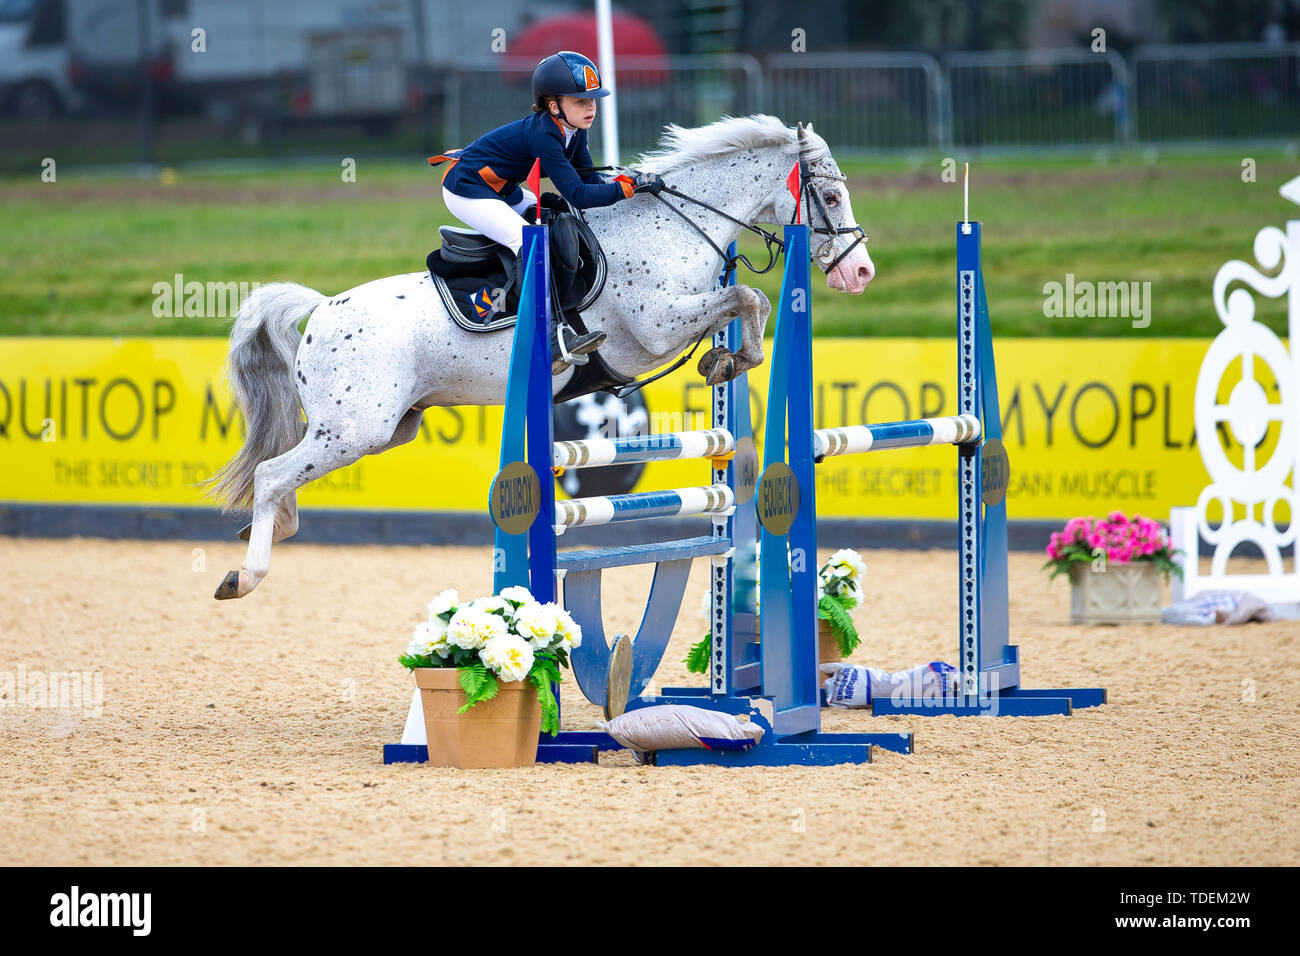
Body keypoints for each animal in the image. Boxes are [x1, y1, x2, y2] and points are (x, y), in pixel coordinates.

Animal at [204, 115, 875, 600]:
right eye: (831, 195)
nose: (861, 273)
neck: (674, 226)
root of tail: (322, 310)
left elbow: (745, 301)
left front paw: (723, 363)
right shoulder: (656, 326)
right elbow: (749, 296)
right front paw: (727, 362)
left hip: (389, 428)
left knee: (285, 474)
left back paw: (271, 529)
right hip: (353, 429)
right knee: (271, 474)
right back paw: (245, 573)